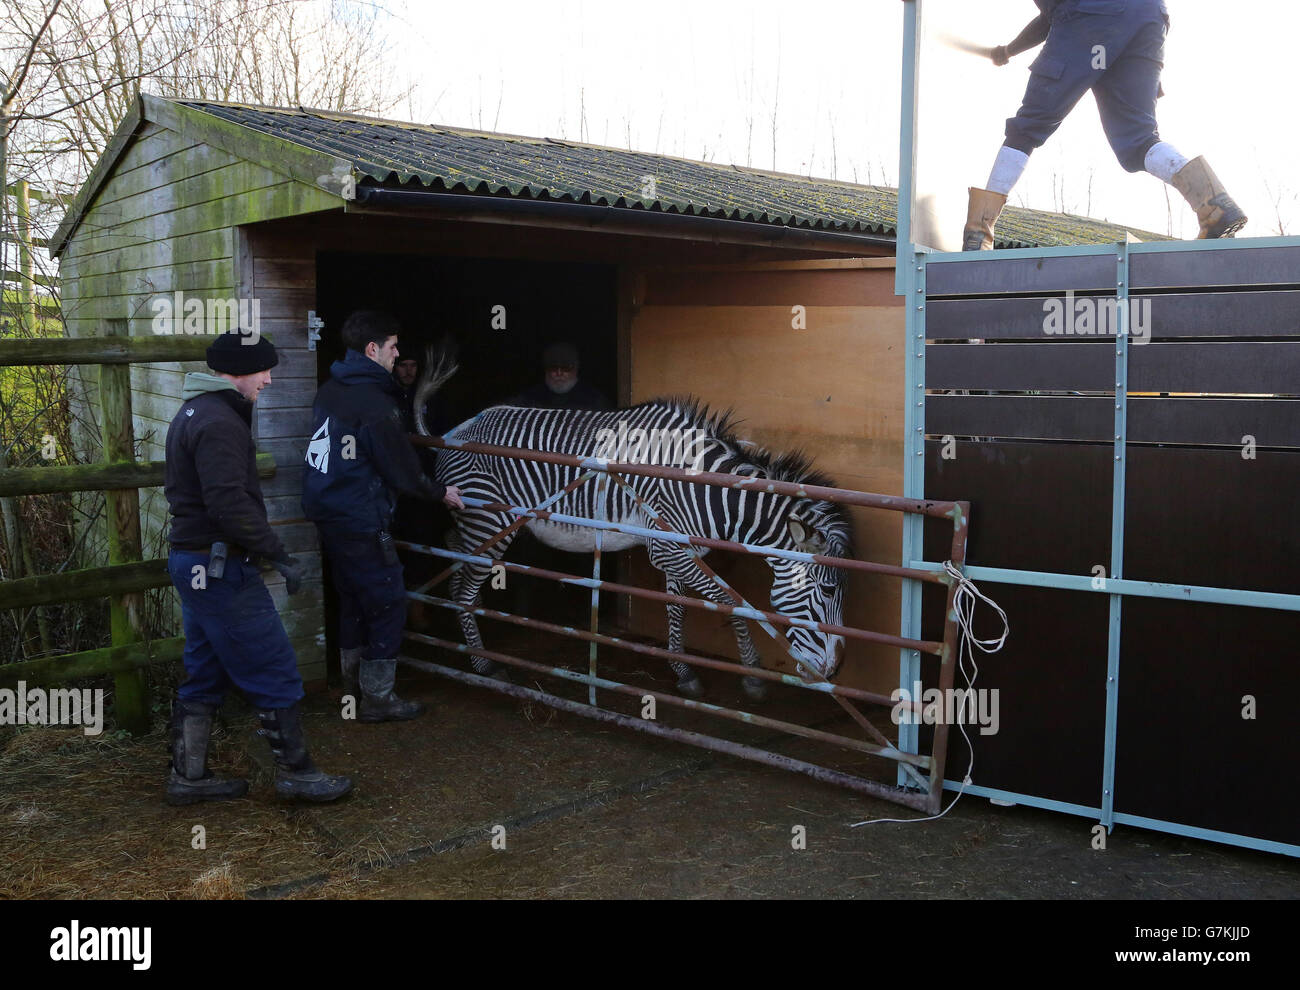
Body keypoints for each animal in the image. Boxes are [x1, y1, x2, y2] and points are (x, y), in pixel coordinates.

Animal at [415, 353, 853, 700]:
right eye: (828, 591)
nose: (836, 671)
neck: (703, 486)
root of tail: (453, 431)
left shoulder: (681, 550)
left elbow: (680, 608)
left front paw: (684, 672)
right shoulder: (668, 549)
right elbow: (731, 603)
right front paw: (753, 678)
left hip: (479, 524)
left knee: (453, 558)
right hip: (490, 521)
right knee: (465, 587)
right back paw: (483, 663)